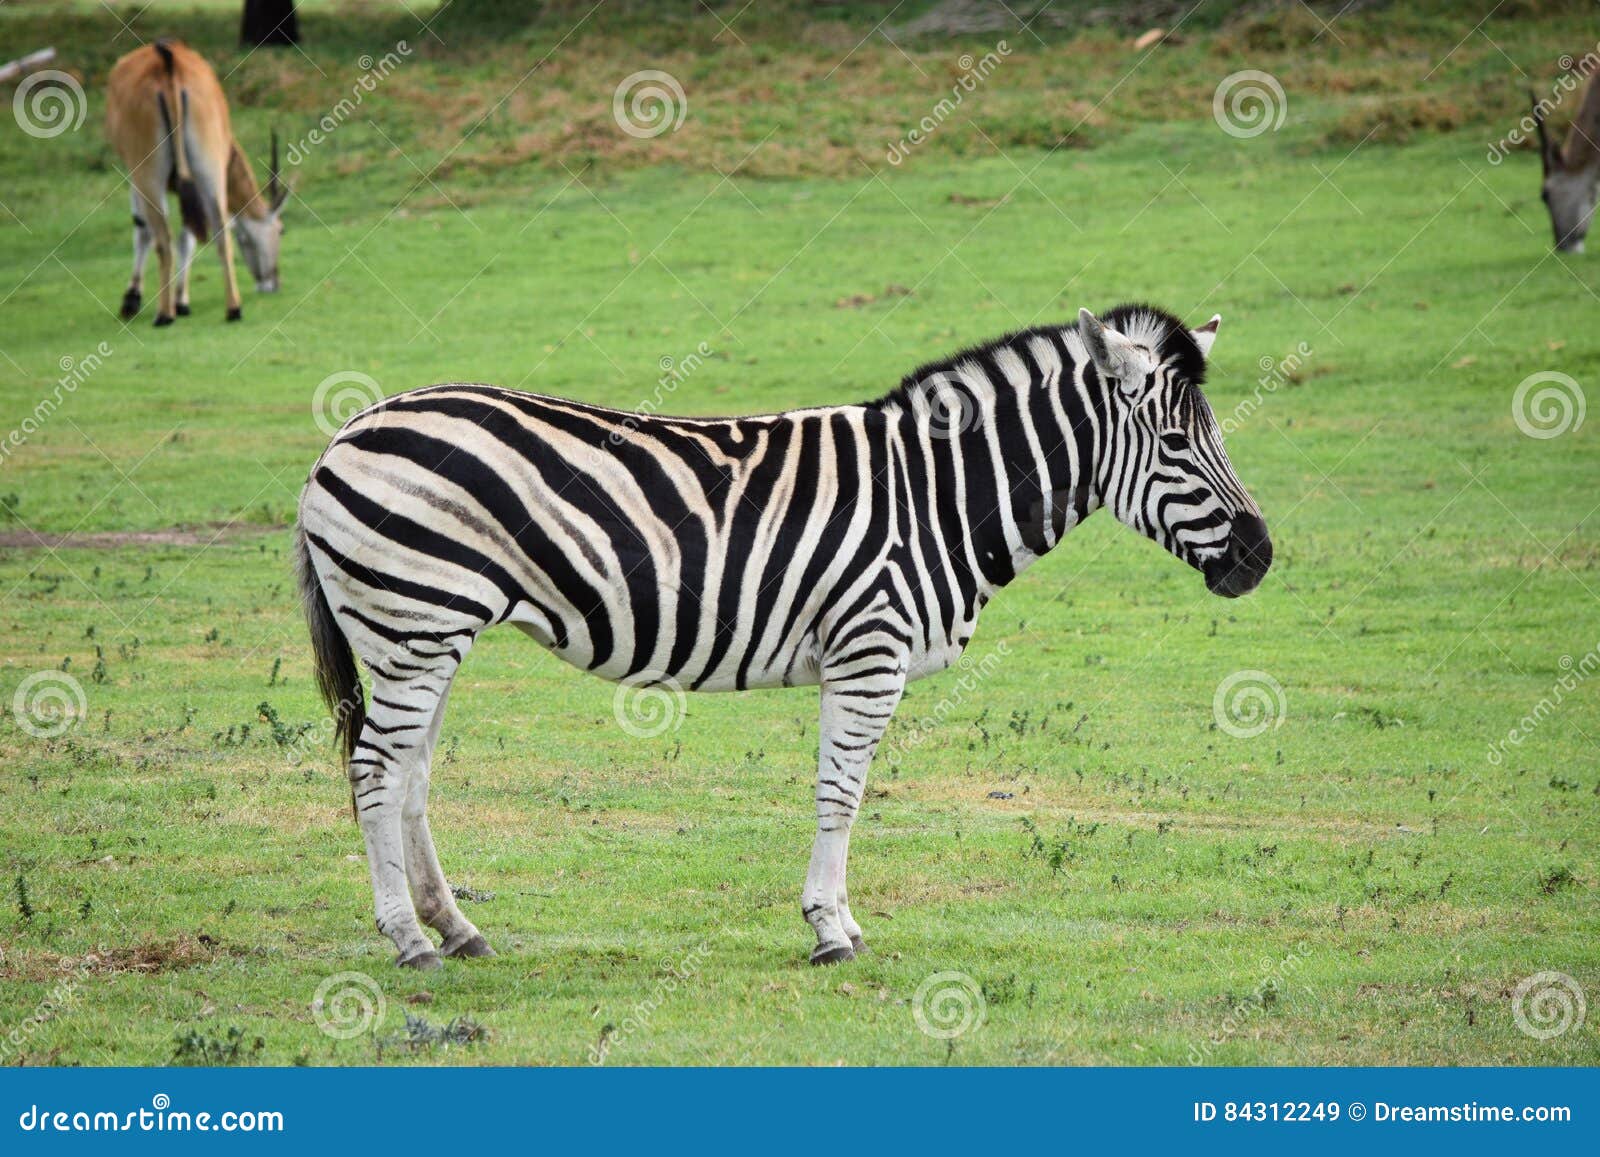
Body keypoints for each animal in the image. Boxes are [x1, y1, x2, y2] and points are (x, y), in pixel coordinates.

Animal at [295, 303, 1272, 968]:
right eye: (1179, 444)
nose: (1260, 557)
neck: (937, 495)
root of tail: (347, 431)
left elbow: (851, 793)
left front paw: (843, 920)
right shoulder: (868, 652)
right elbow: (841, 793)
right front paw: (830, 930)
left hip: (427, 630)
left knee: (411, 772)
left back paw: (456, 927)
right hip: (415, 622)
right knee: (376, 770)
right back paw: (408, 939)